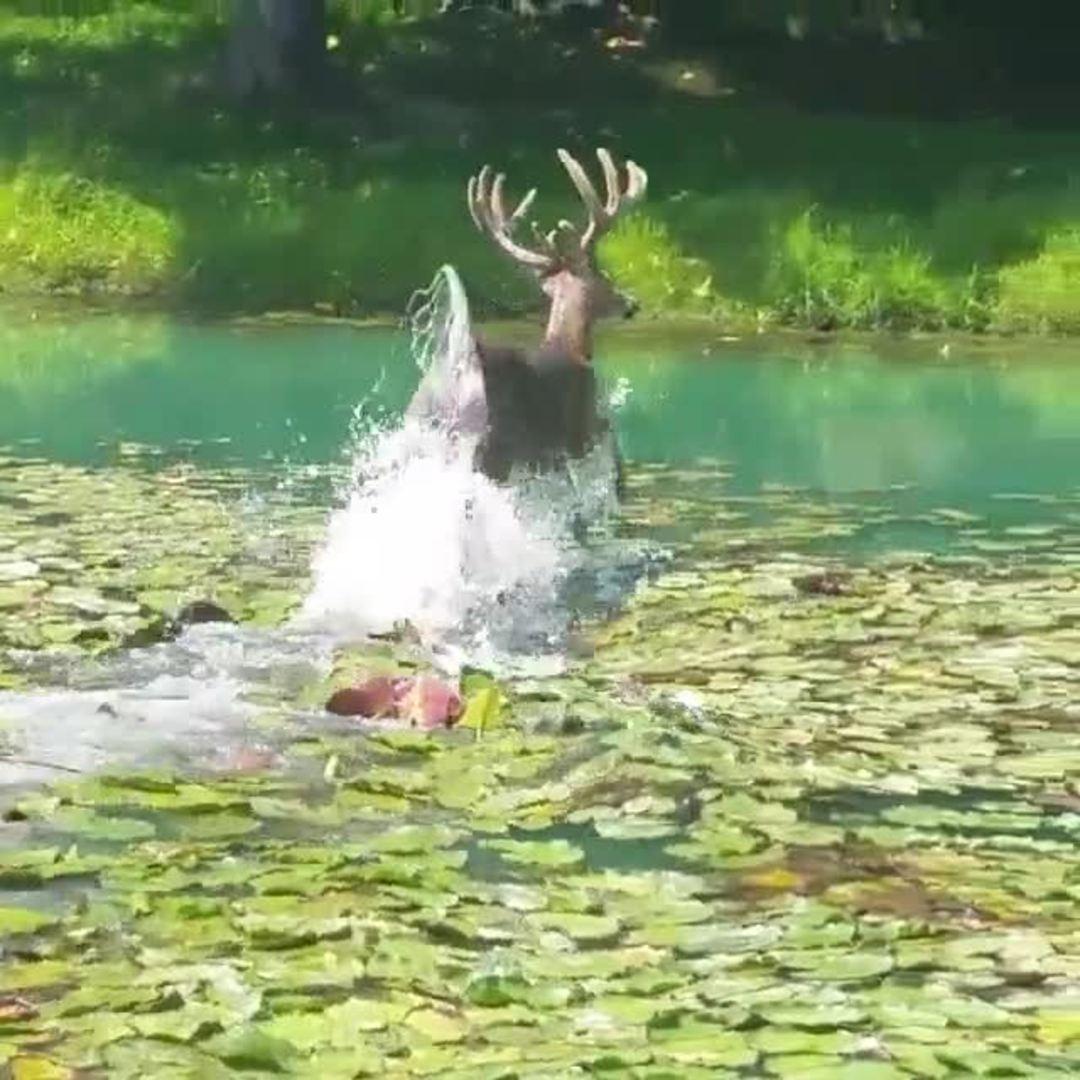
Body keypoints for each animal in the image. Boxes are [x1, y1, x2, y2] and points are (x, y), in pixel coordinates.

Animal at [405, 147, 648, 495]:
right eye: (605, 278)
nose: (631, 304)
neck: (570, 344)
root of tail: (462, 365)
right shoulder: (586, 435)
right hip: (491, 447)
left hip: (416, 430)